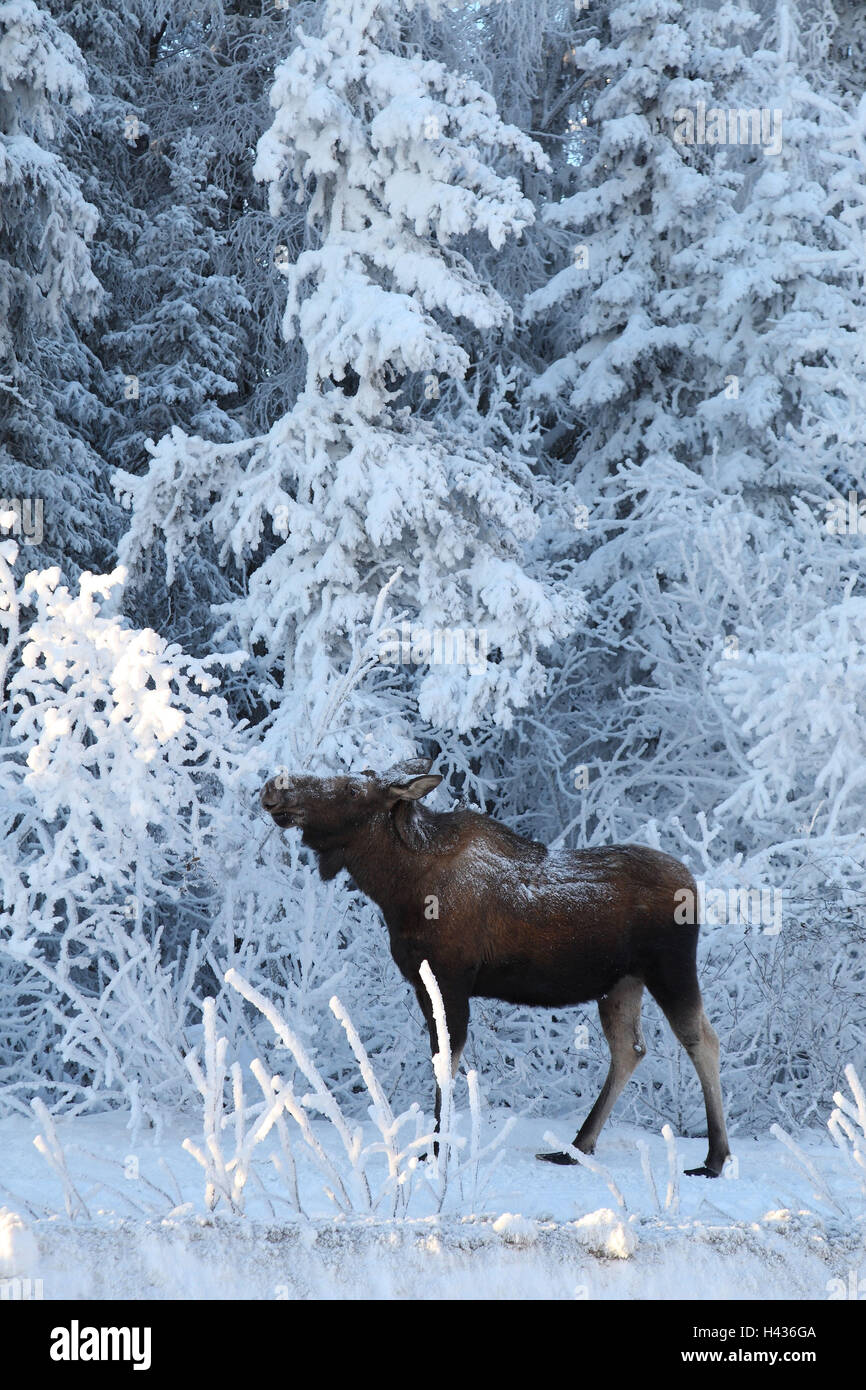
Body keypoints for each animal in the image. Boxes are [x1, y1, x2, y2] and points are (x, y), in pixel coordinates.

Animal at [260, 757, 732, 1176]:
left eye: (353, 790)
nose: (274, 787)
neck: (396, 888)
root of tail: (693, 882)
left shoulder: (450, 978)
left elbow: (446, 1060)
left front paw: (439, 1150)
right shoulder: (426, 980)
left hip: (670, 968)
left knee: (702, 1040)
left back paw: (714, 1158)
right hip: (620, 983)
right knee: (629, 1049)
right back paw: (577, 1146)